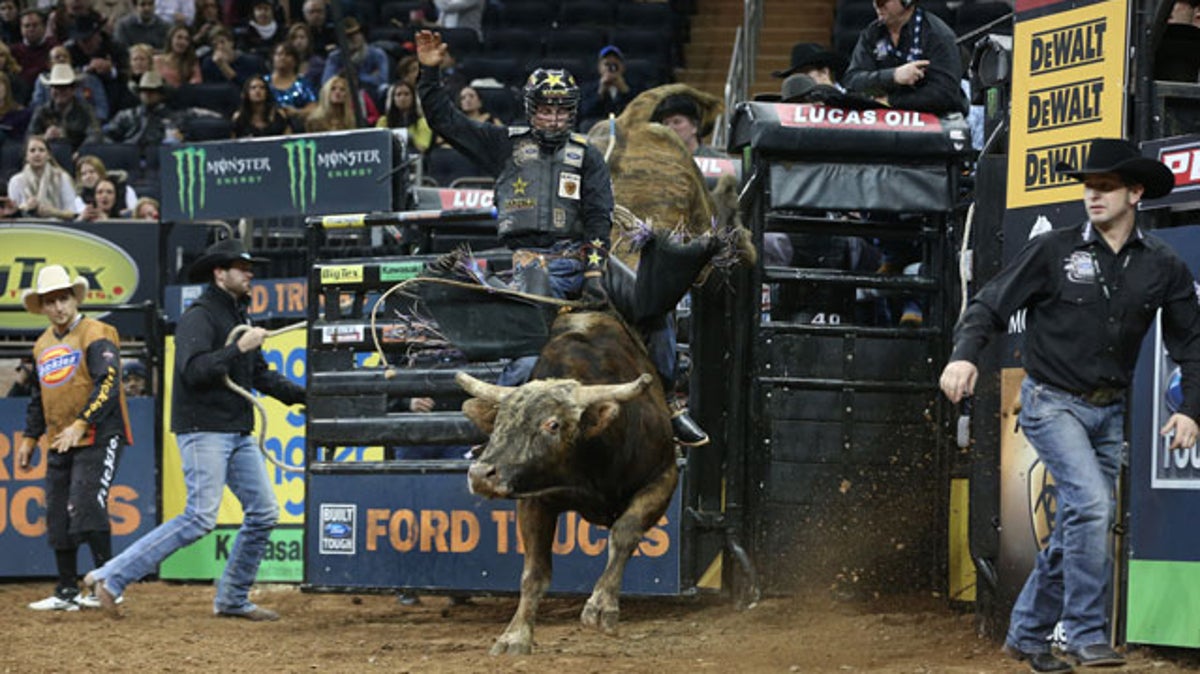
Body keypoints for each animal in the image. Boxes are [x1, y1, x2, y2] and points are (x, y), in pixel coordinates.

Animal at [455, 310, 679, 655]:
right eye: (499, 423)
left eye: (553, 424)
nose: (481, 476)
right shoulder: (535, 499)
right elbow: (534, 573)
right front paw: (514, 635)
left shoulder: (664, 477)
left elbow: (625, 532)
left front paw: (602, 606)